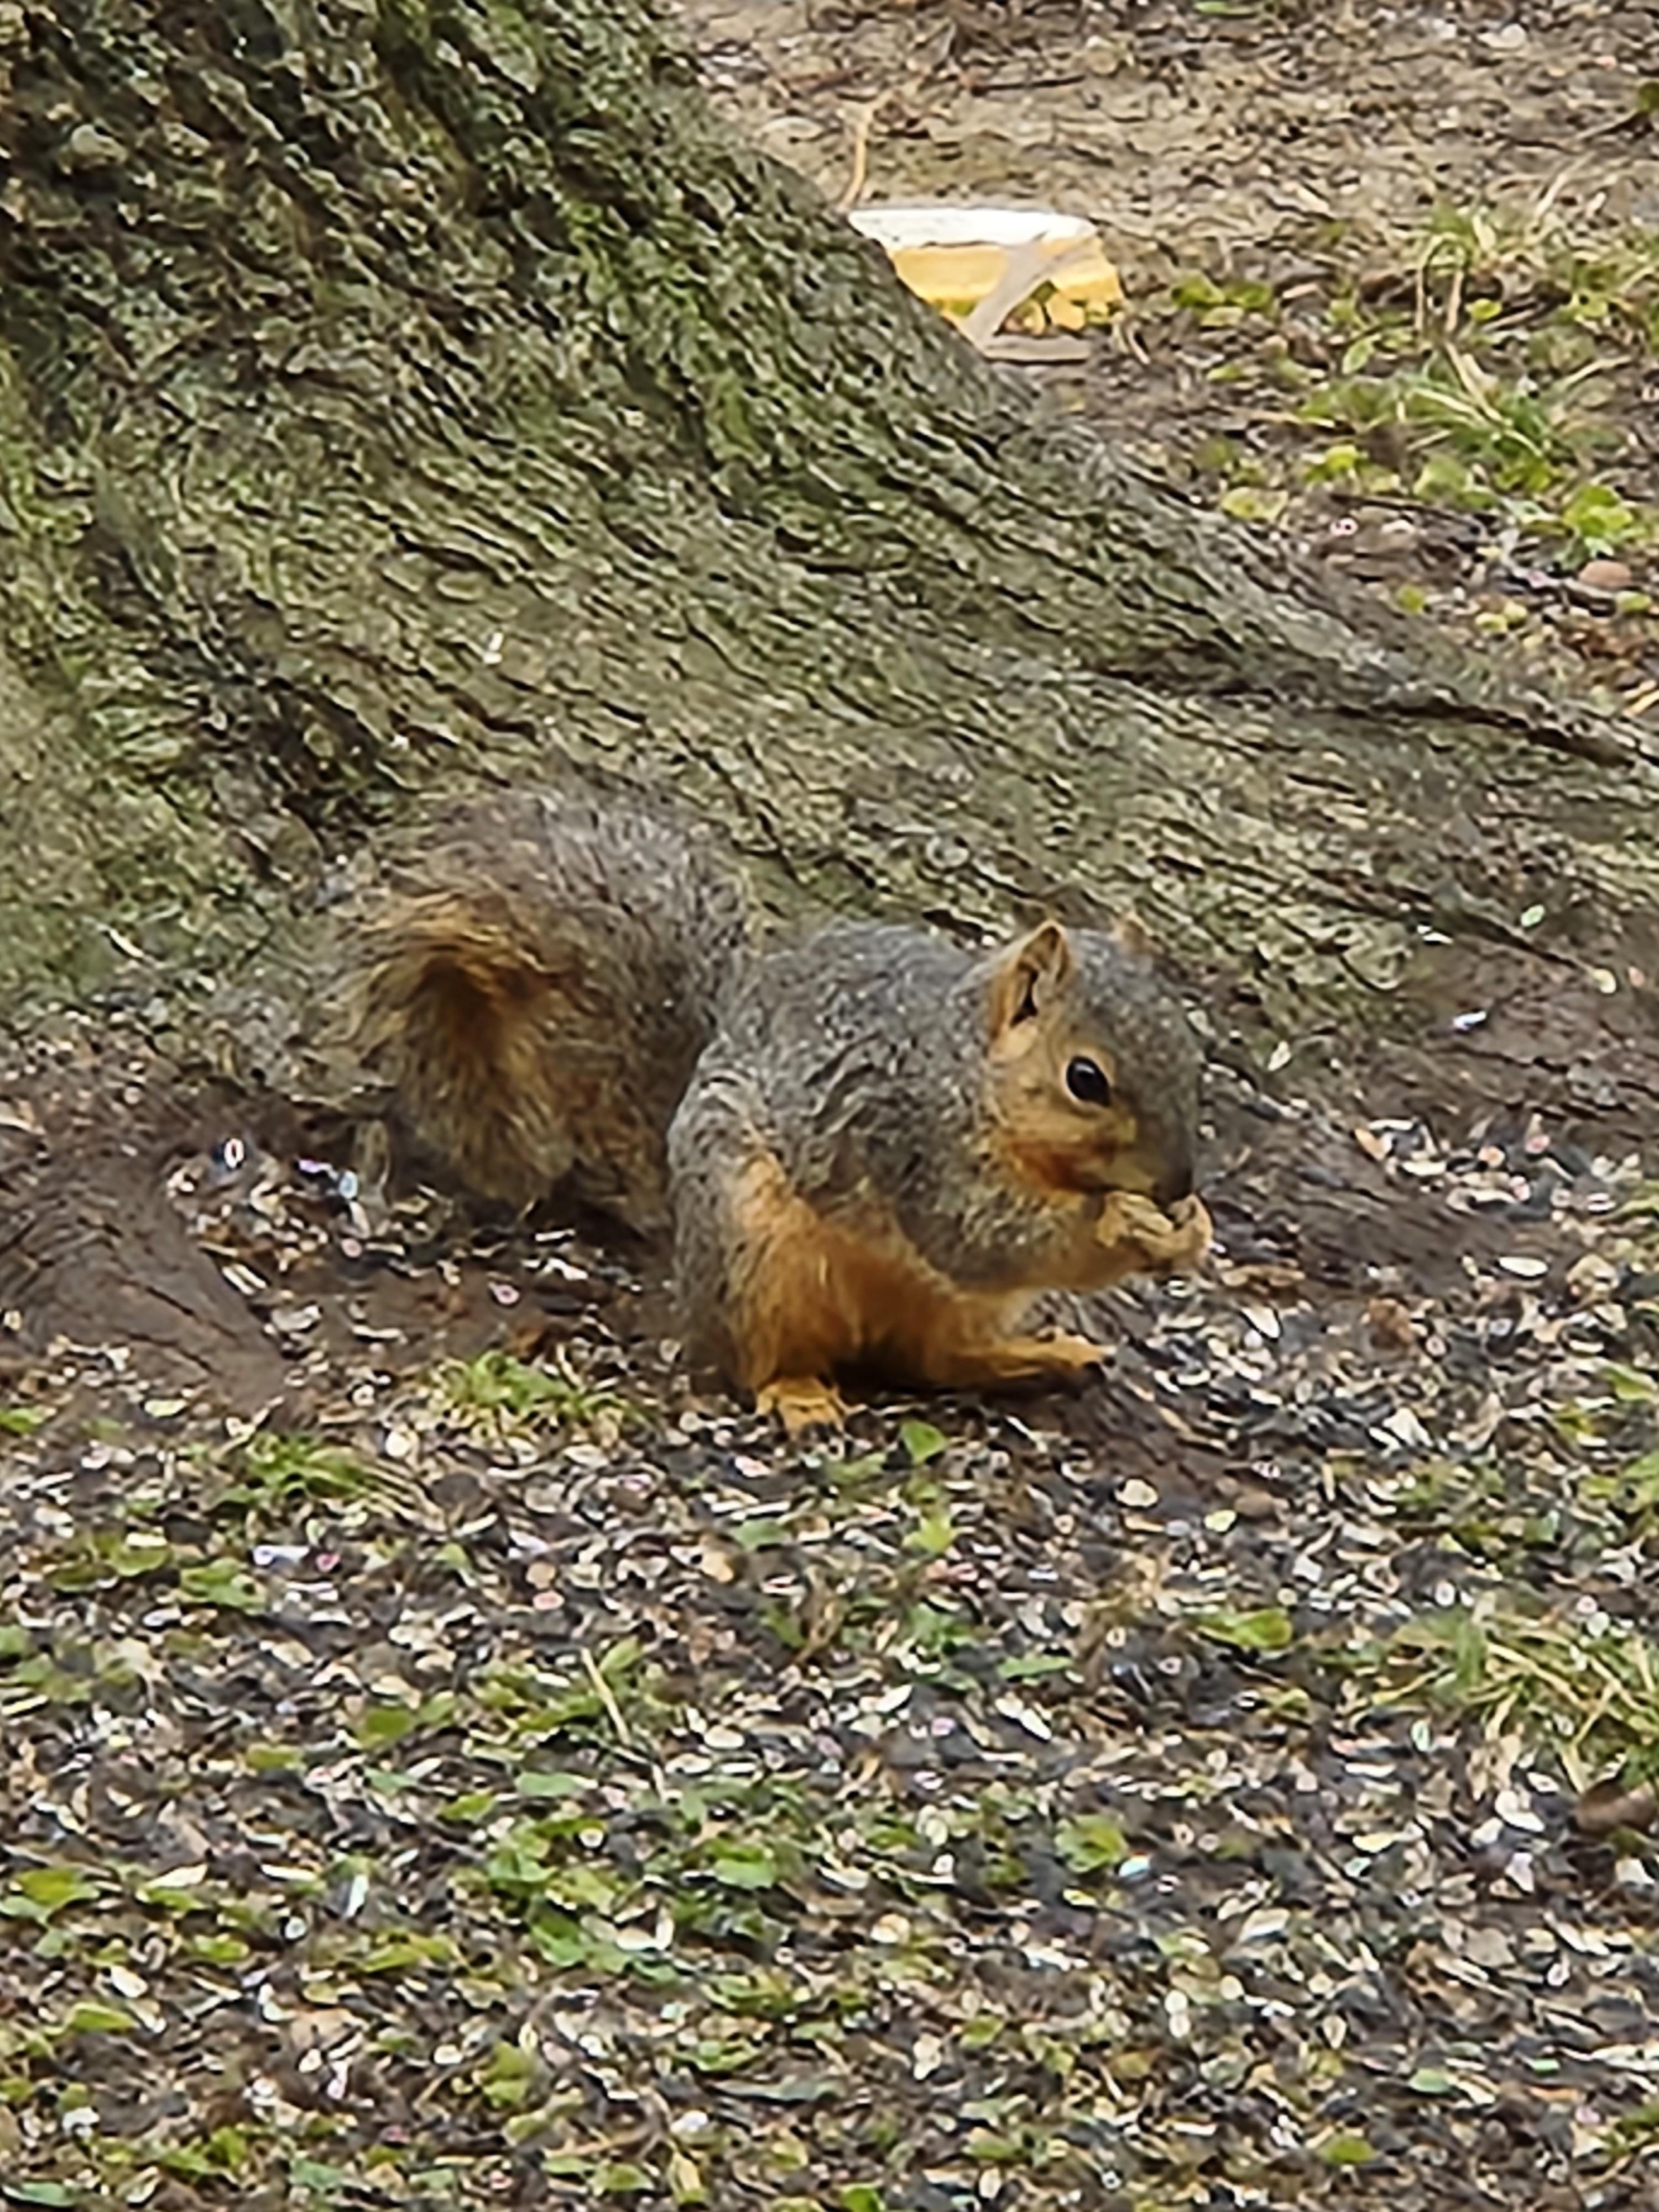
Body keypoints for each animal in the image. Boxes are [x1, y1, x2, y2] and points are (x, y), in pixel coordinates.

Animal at [349, 790, 1212, 1433]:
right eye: (1085, 1079)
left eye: (1186, 1041)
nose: (1177, 1185)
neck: (970, 1073)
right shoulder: (911, 1138)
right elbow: (980, 1236)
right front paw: (1124, 1224)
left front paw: (1190, 1231)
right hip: (756, 1253)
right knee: (756, 1361)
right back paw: (798, 1394)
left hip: (961, 1309)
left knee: (934, 1360)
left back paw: (1037, 1356)